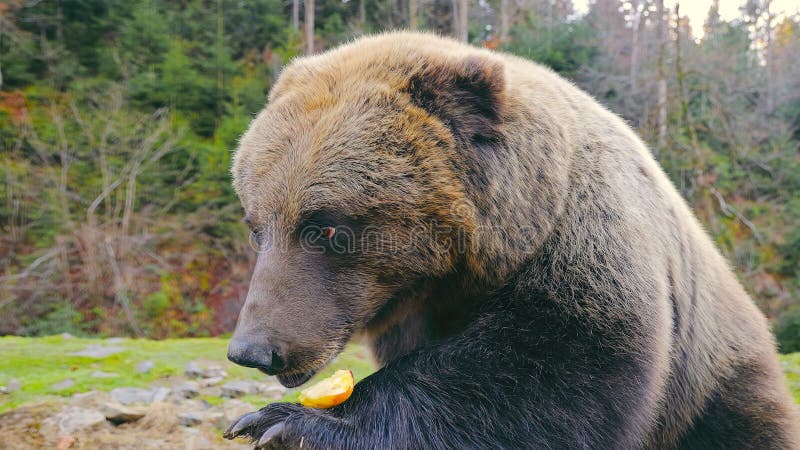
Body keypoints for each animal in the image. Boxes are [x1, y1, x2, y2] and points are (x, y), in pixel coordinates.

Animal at [223, 32, 800, 449]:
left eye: (325, 226)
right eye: (257, 225)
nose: (254, 349)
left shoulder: (581, 246)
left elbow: (545, 374)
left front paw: (290, 424)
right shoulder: (415, 314)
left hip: (711, 379)